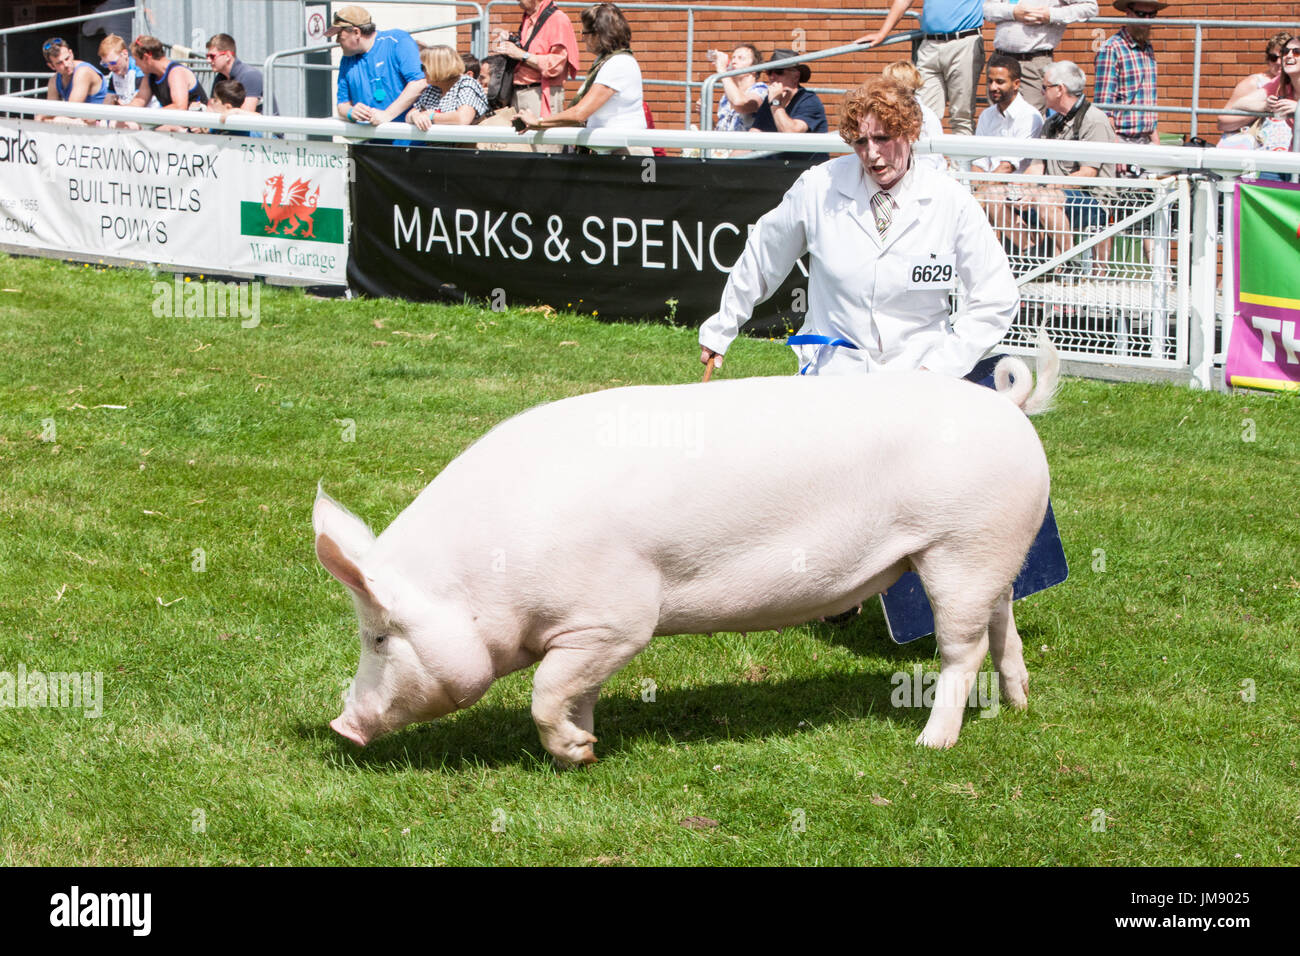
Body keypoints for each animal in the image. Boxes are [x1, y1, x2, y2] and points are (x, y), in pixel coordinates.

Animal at [315, 339, 1059, 766]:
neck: (482, 580)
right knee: (1002, 621)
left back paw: (931, 743)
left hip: (959, 545)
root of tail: (1010, 409)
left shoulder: (617, 618)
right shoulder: (588, 635)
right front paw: (587, 751)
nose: (340, 725)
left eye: (377, 637)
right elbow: (576, 692)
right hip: (993, 550)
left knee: (961, 648)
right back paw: (1019, 705)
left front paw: (575, 752)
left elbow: (546, 692)